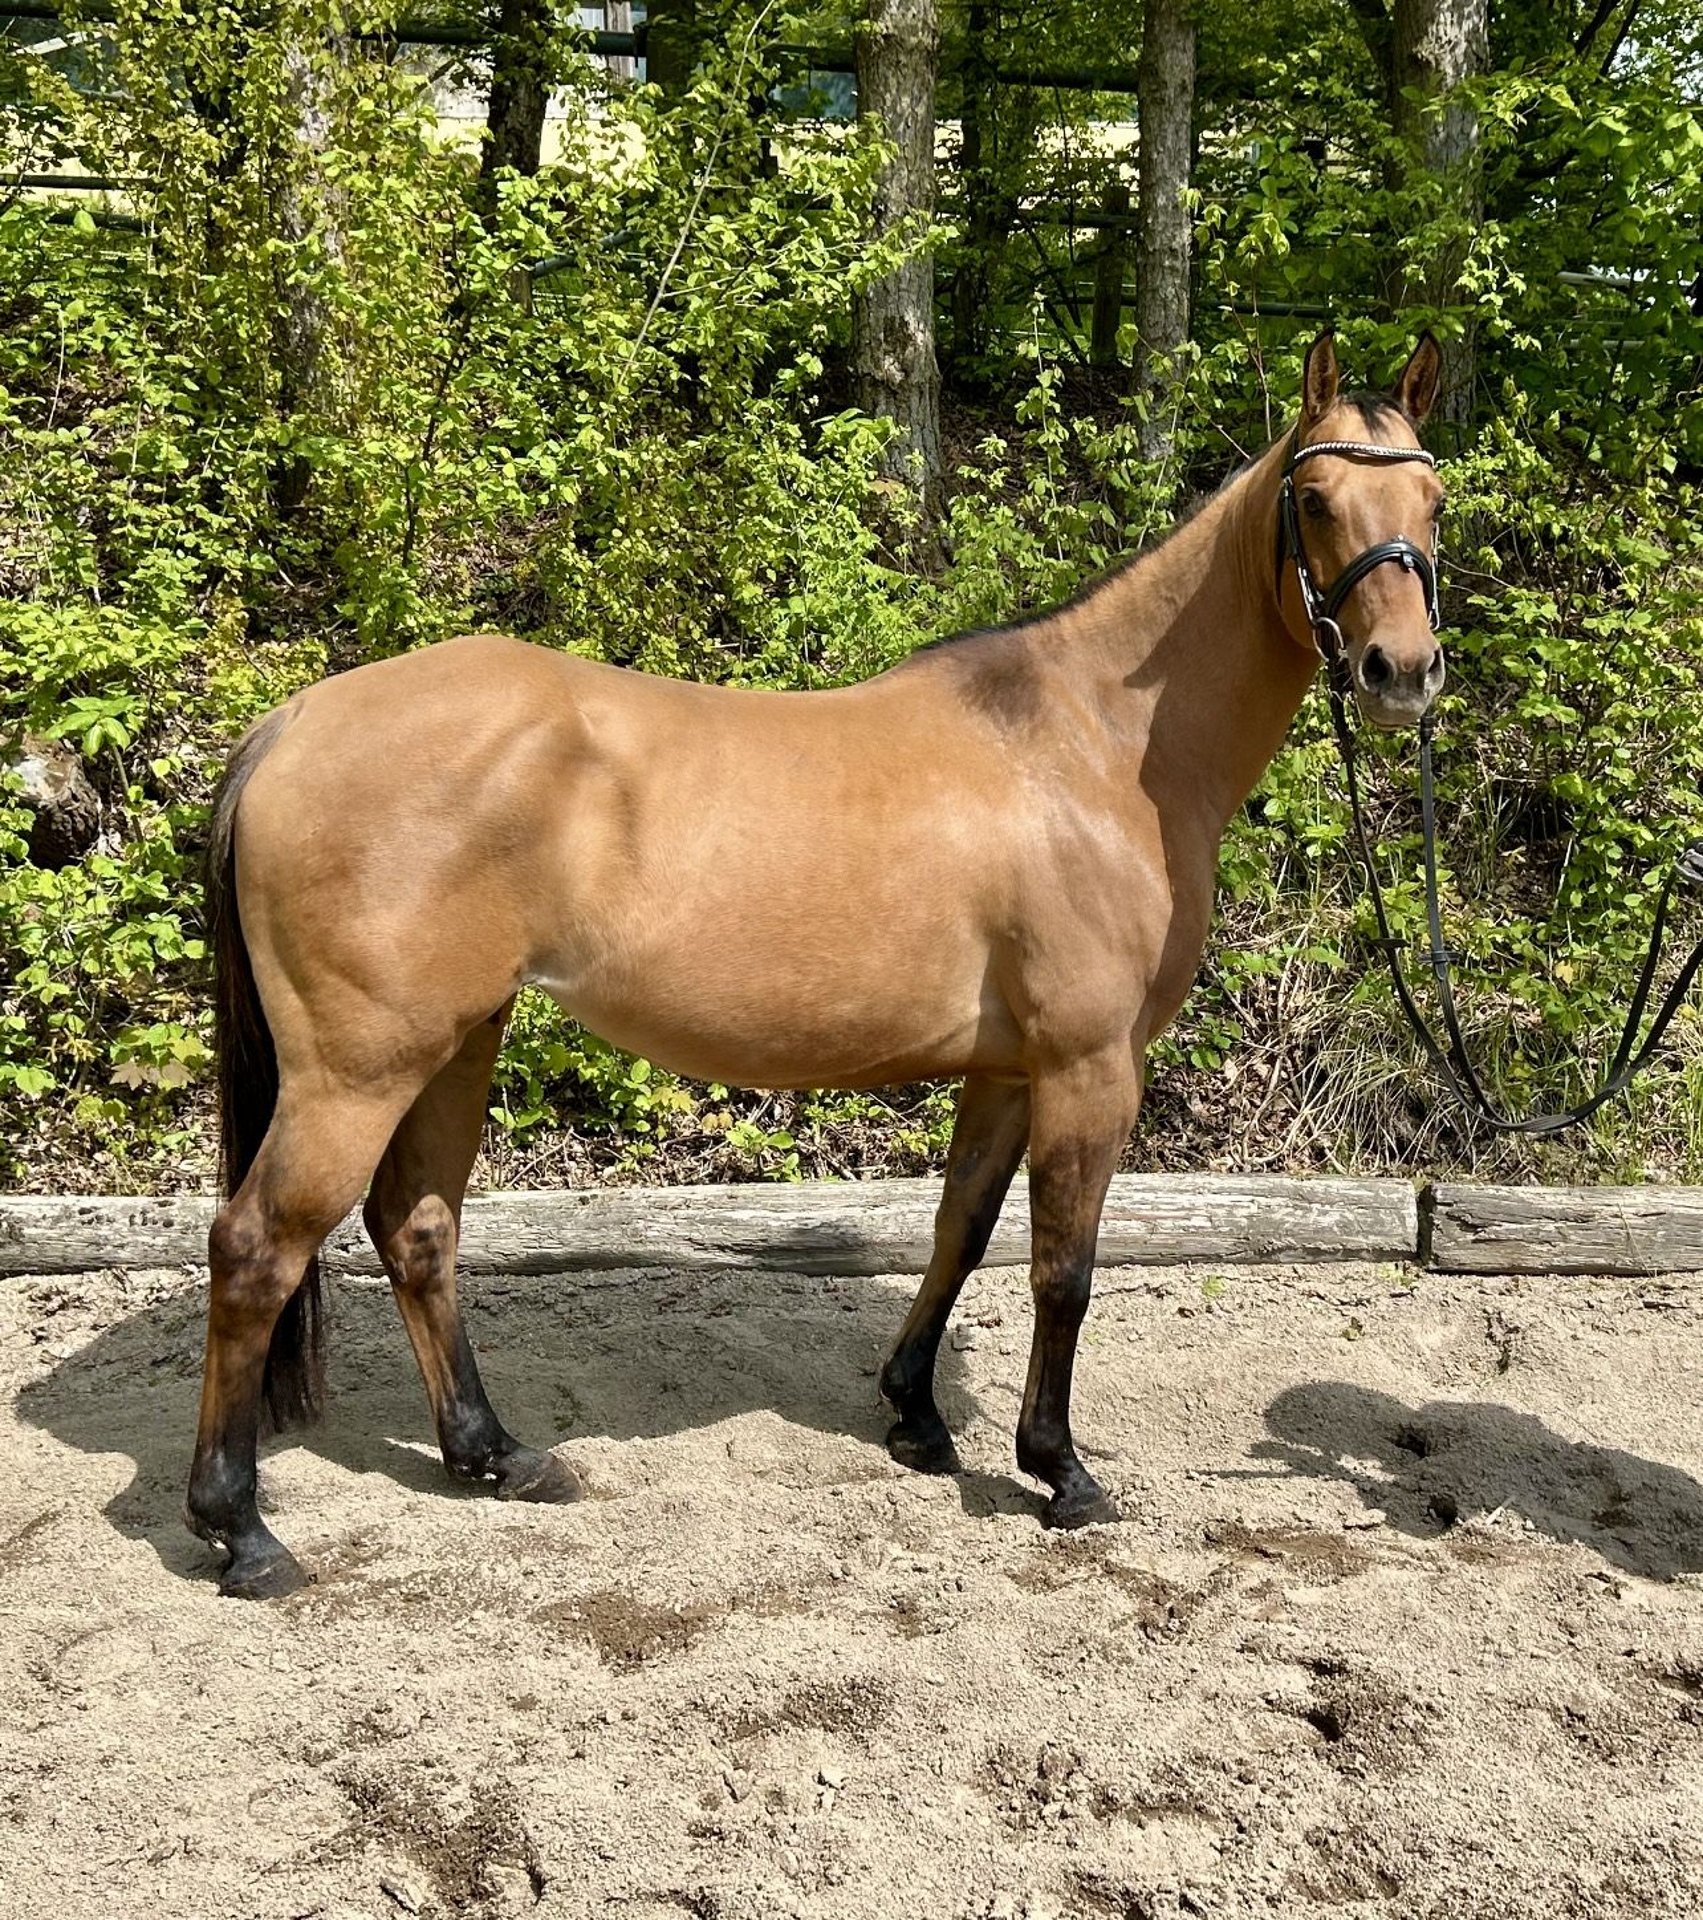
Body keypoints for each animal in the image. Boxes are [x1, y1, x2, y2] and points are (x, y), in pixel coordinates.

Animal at [186, 330, 1448, 1598]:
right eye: (1313, 499)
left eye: (1433, 501)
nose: (1399, 672)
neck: (1093, 747)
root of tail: (292, 723)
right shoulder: (1088, 1067)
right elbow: (1062, 1268)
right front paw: (1059, 1472)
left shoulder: (1007, 1068)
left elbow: (958, 1229)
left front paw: (916, 1417)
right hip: (357, 1070)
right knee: (255, 1250)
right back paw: (240, 1529)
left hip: (457, 1040)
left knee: (418, 1231)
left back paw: (494, 1456)